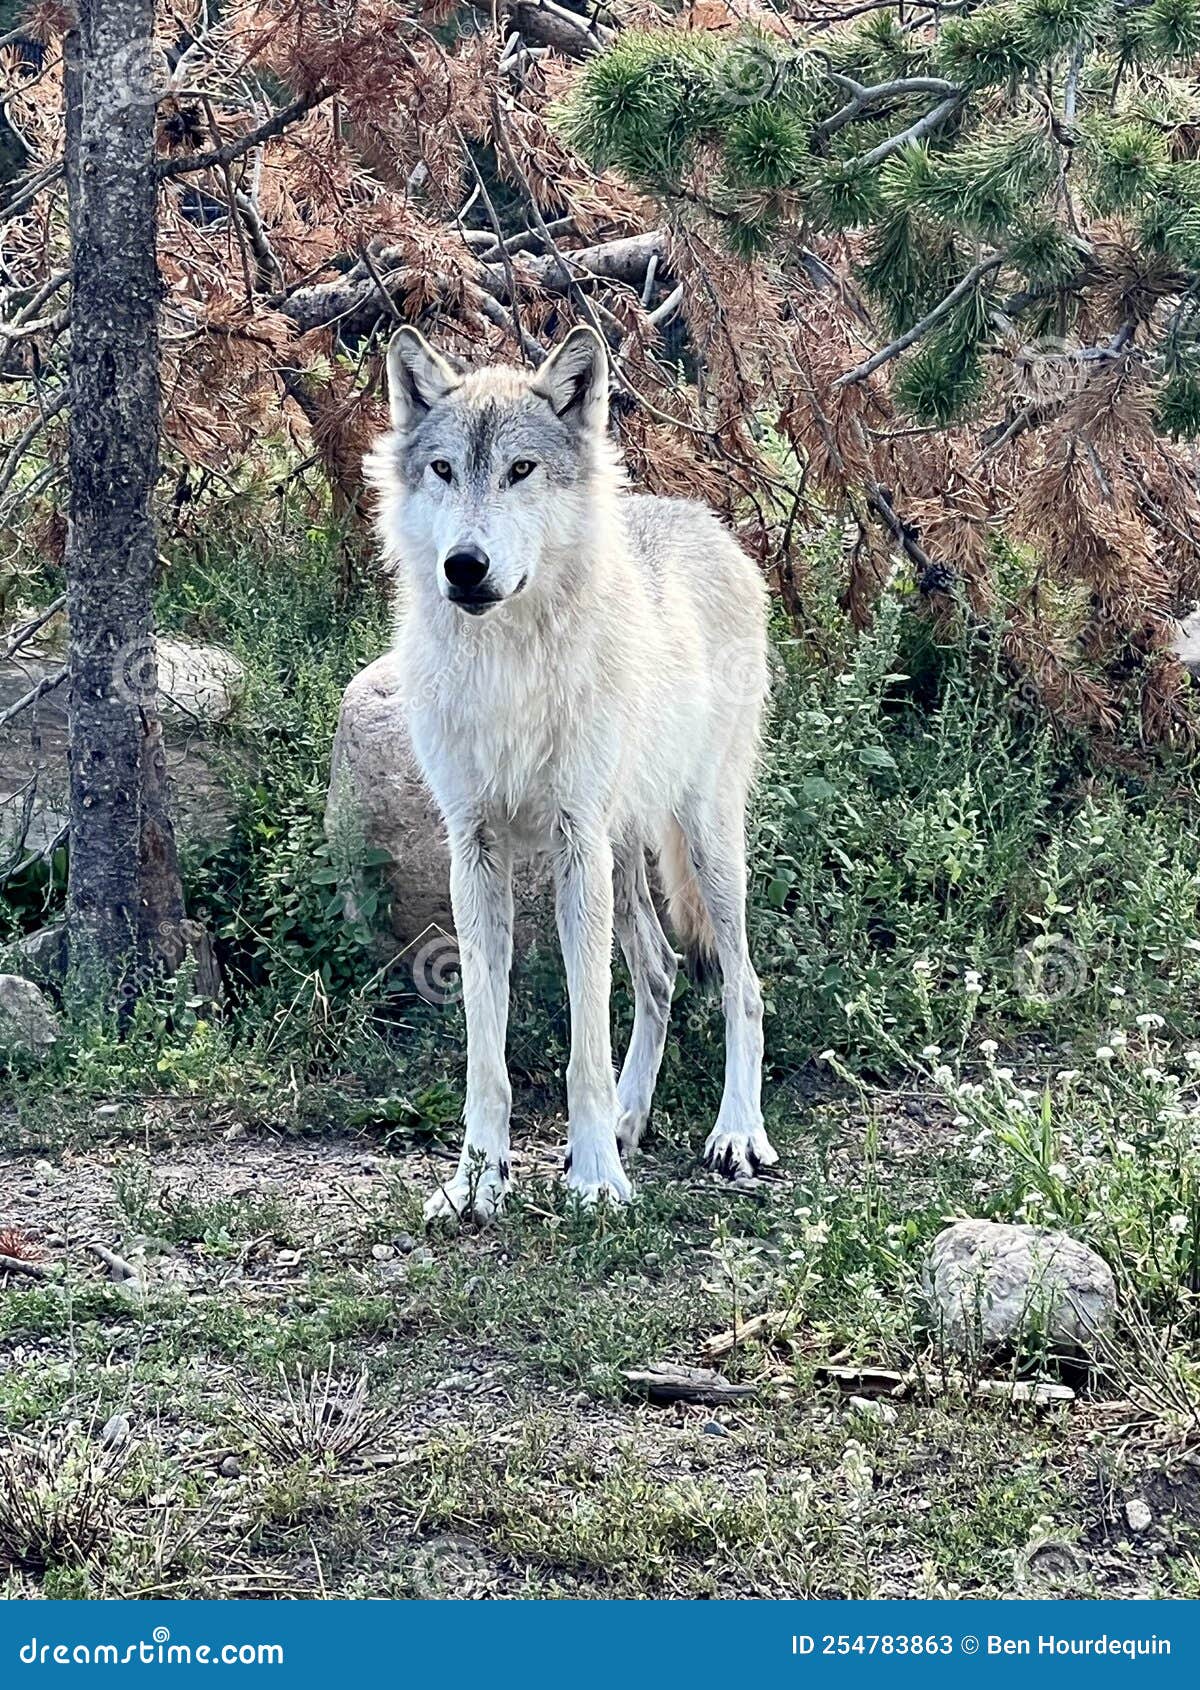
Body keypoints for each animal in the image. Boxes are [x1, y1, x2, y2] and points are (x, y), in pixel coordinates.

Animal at [365, 323, 776, 1221]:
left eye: (521, 469)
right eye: (444, 469)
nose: (464, 565)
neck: (507, 669)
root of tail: (706, 521)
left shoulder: (573, 843)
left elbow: (585, 1039)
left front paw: (594, 1178)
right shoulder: (475, 851)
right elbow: (486, 1050)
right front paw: (476, 1181)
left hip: (702, 842)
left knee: (743, 984)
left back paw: (735, 1134)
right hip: (623, 858)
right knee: (659, 974)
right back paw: (631, 1119)